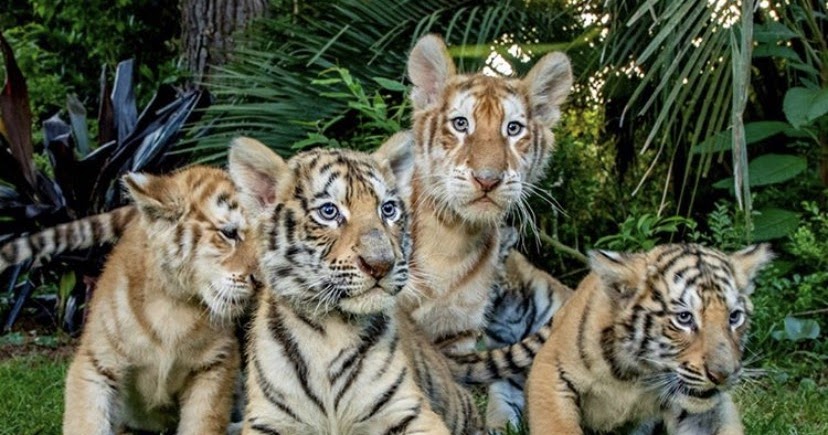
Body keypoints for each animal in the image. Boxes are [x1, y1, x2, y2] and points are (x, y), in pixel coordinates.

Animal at [0, 166, 258, 434]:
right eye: (229, 233)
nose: (261, 280)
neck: (176, 303)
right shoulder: (96, 364)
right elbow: (86, 422)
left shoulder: (215, 366)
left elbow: (202, 423)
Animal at [526, 243, 774, 435]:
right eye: (684, 318)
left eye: (734, 317)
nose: (723, 375)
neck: (638, 374)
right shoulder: (552, 369)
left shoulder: (704, 410)